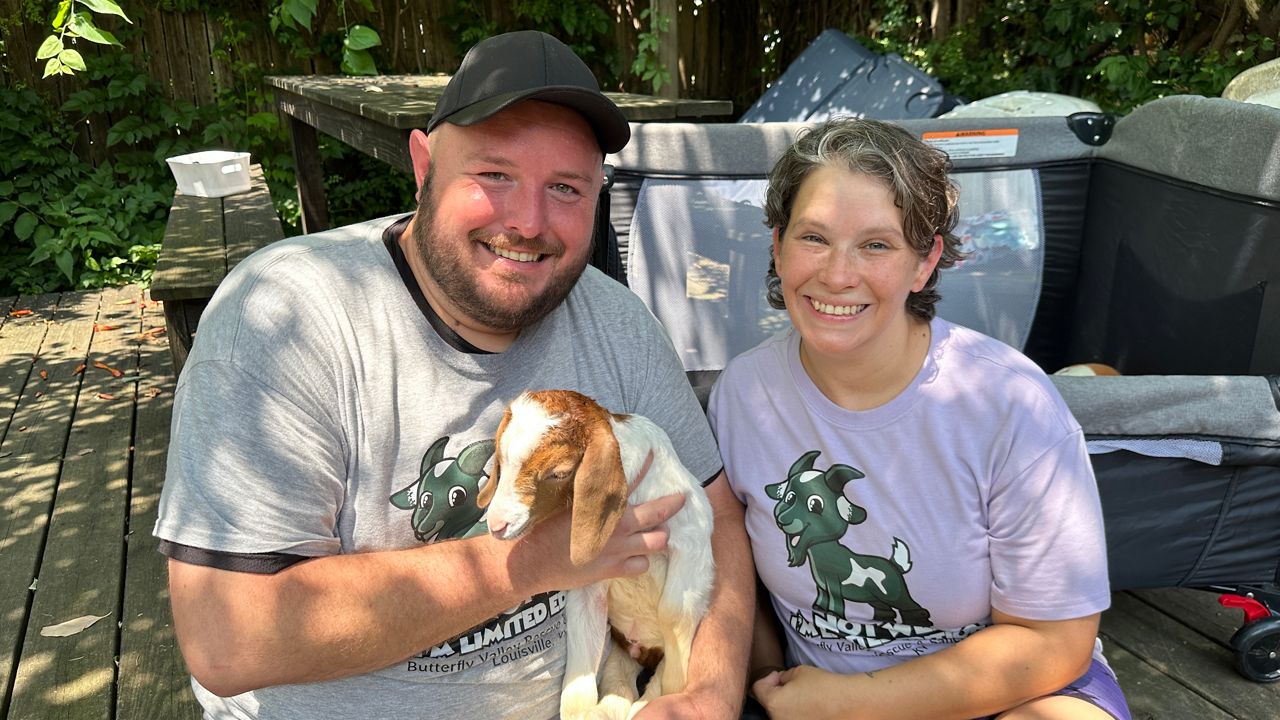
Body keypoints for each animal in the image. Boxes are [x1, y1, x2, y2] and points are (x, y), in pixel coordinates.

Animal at [478, 389, 715, 720]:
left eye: (559, 473)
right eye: (500, 459)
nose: (497, 525)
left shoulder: (692, 540)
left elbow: (673, 610)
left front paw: (671, 691)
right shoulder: (588, 584)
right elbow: (578, 687)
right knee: (620, 680)